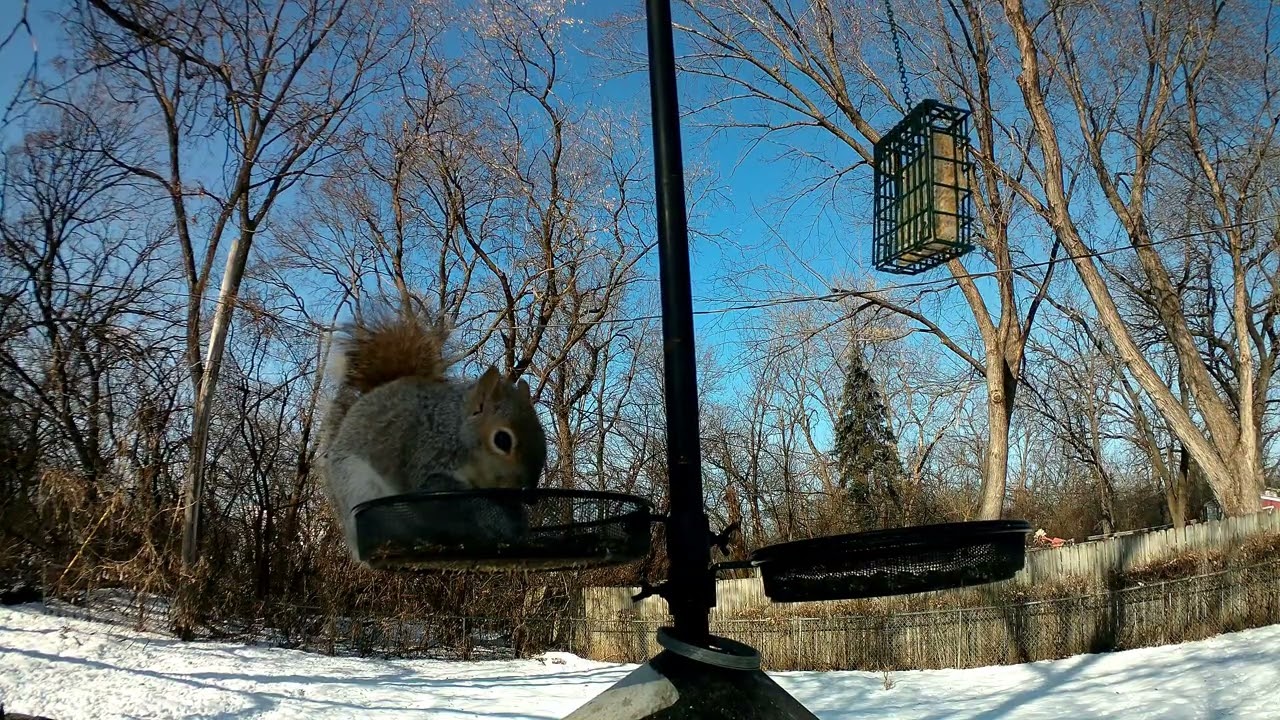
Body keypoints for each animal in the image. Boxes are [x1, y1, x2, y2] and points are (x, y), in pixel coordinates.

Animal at [316, 305, 547, 561]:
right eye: (502, 440)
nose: (531, 497)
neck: (454, 430)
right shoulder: (427, 457)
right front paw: (499, 521)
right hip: (358, 487)